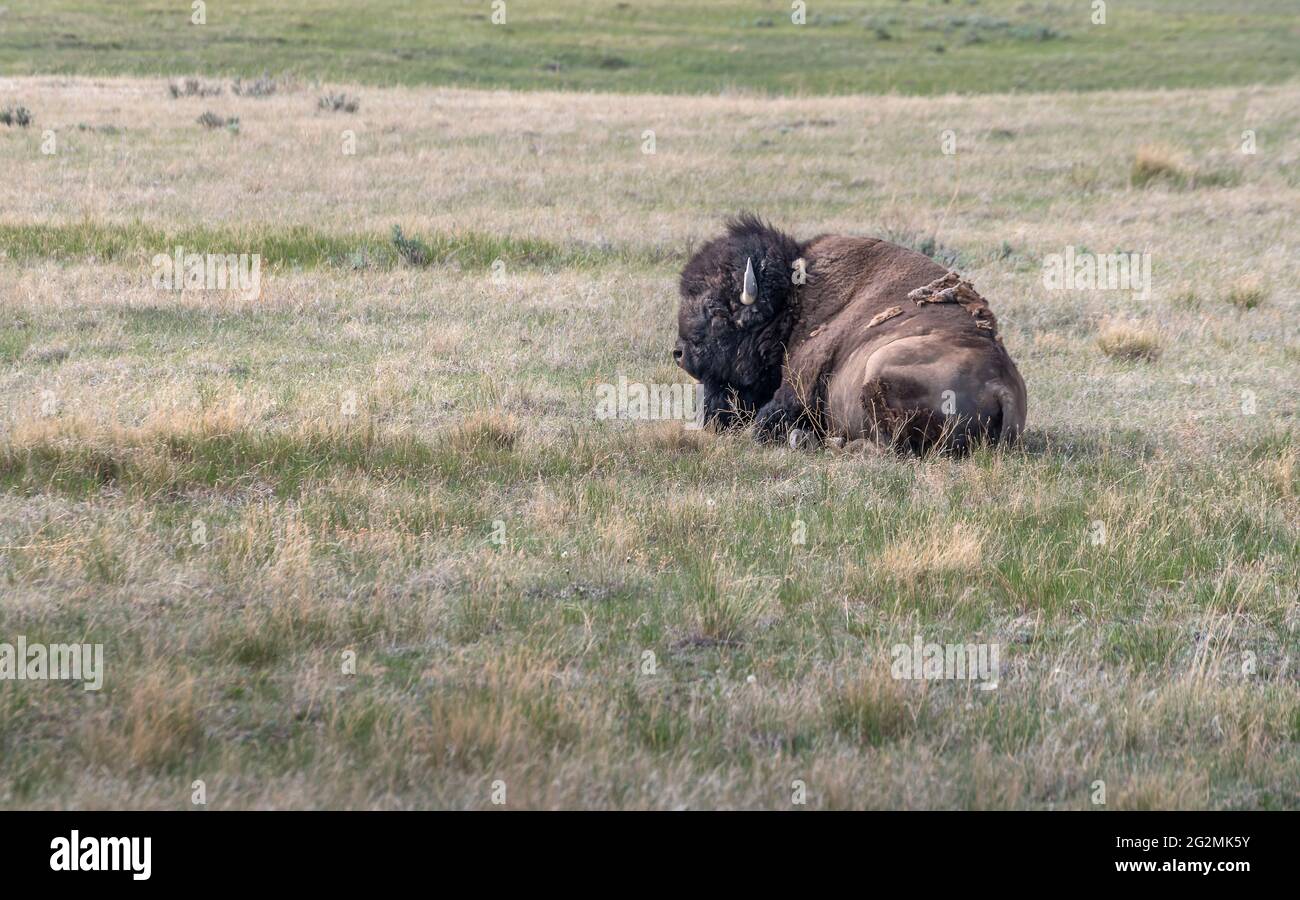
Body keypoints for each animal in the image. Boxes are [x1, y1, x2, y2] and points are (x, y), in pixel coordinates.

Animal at [675, 215, 1026, 454]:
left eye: (715, 308)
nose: (679, 353)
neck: (792, 300)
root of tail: (1001, 385)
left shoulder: (798, 384)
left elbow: (765, 422)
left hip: (879, 366)